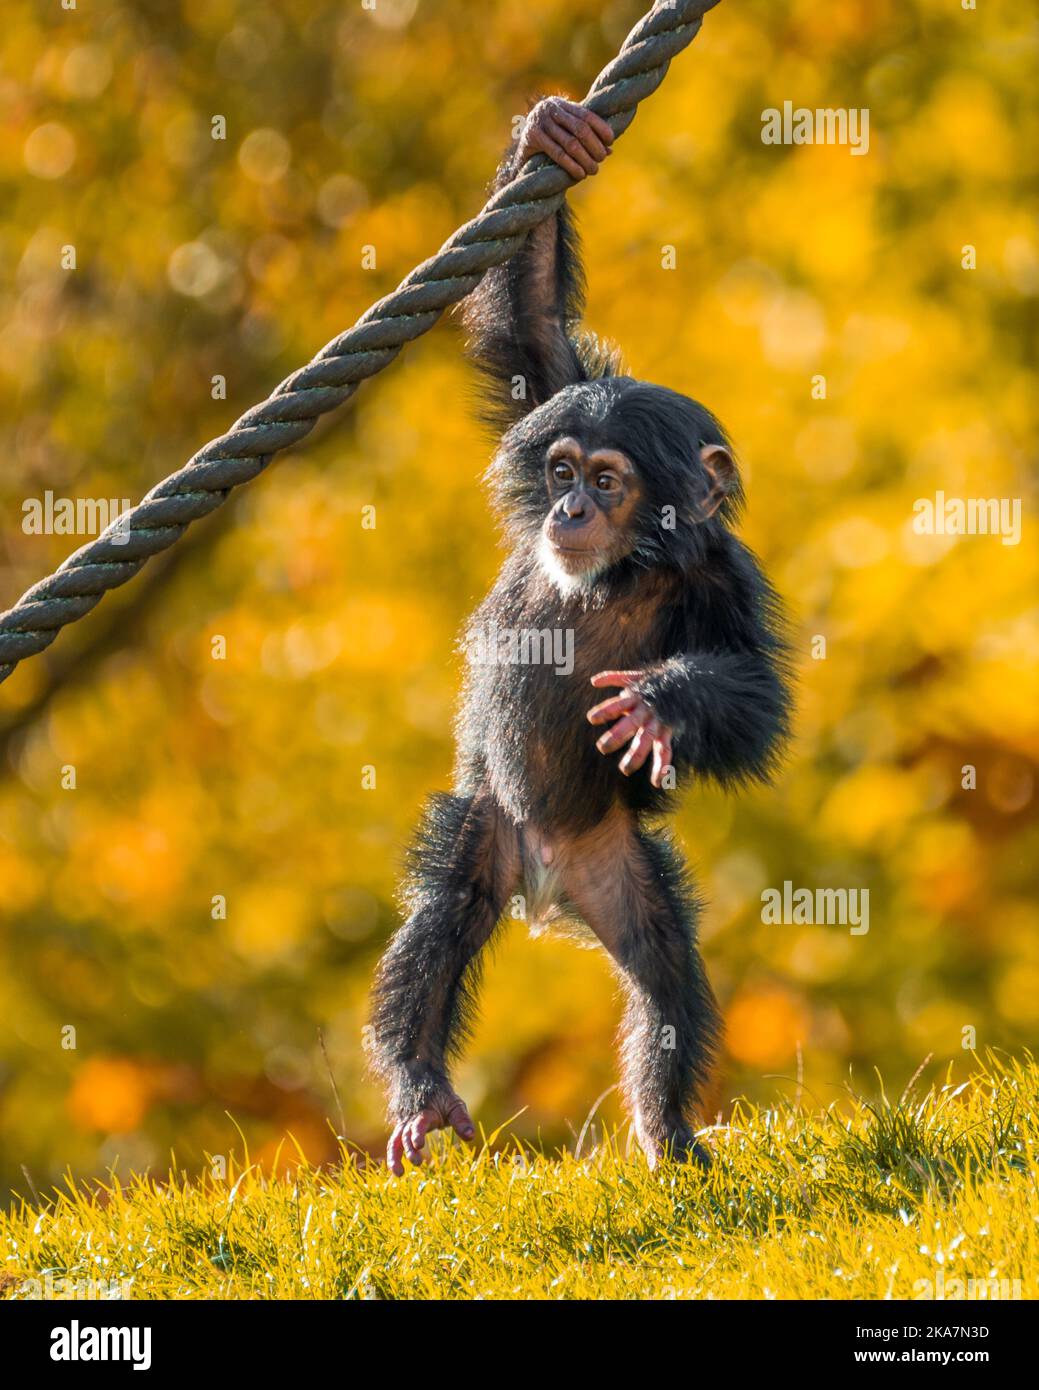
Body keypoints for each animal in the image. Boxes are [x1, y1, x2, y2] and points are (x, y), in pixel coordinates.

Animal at [369, 97, 792, 1175]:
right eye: (560, 469)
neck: (626, 564)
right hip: (489, 829)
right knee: (439, 923)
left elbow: (757, 697)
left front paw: (658, 703)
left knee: (664, 975)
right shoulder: (548, 391)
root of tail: (546, 885)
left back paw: (665, 1127)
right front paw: (551, 137)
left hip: (618, 865)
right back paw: (421, 1088)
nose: (566, 510)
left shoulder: (724, 577)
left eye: (608, 479)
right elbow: (530, 336)